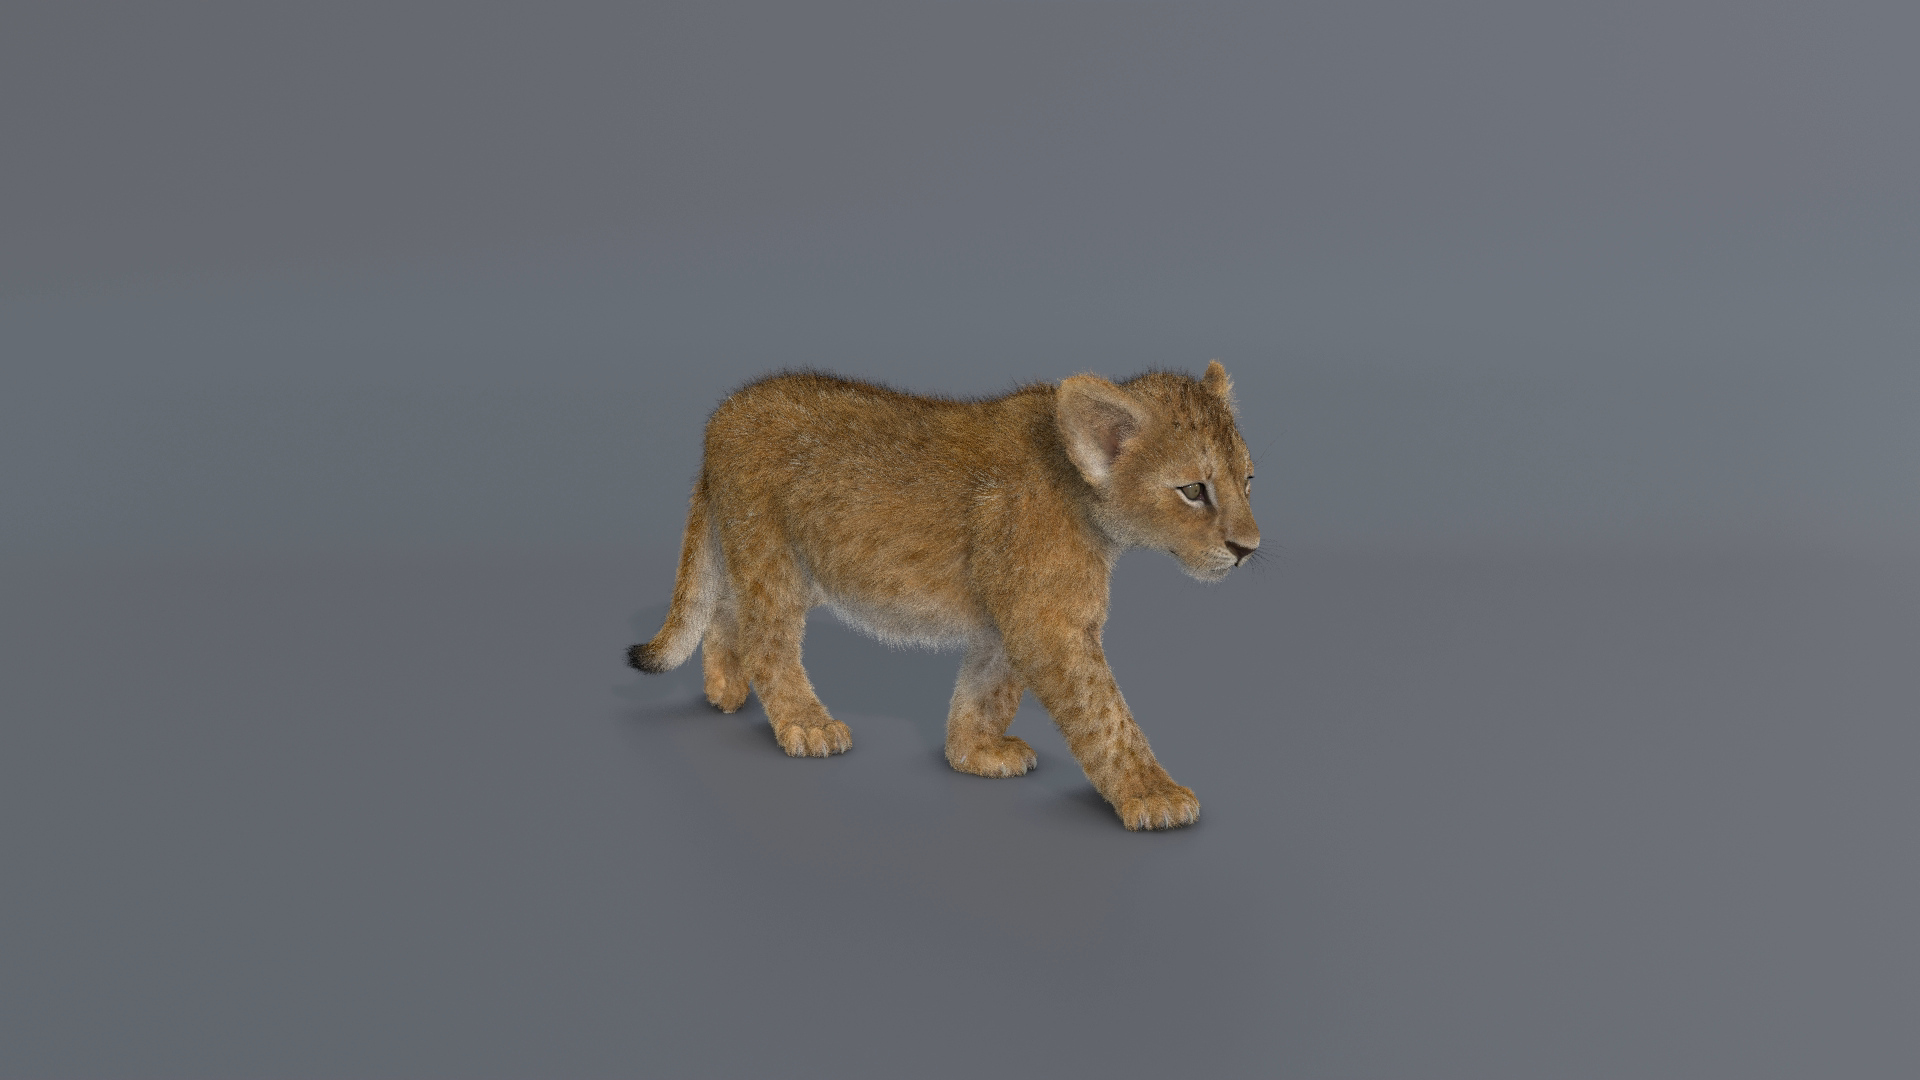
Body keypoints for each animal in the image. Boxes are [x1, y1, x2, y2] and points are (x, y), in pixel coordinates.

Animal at [627, 362, 1260, 830]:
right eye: (1193, 490)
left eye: (1249, 481)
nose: (1248, 548)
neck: (1089, 498)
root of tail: (725, 411)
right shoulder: (1049, 623)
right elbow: (1106, 714)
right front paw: (1154, 794)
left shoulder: (1009, 619)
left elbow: (988, 687)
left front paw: (974, 753)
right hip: (771, 555)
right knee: (767, 641)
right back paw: (807, 725)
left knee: (727, 613)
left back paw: (725, 692)